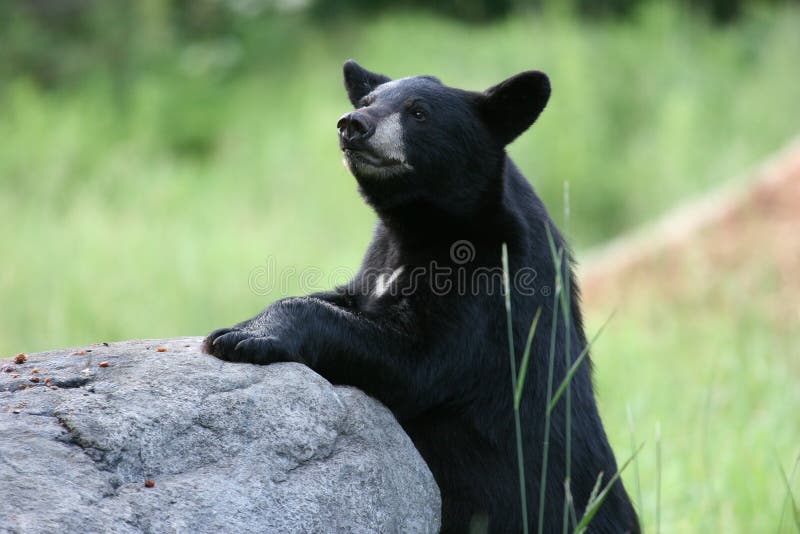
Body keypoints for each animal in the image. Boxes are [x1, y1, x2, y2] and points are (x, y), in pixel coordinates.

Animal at [204, 60, 640, 533]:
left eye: (418, 113)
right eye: (368, 100)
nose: (352, 124)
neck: (422, 224)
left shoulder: (489, 285)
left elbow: (416, 359)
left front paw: (242, 337)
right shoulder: (379, 262)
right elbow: (347, 299)